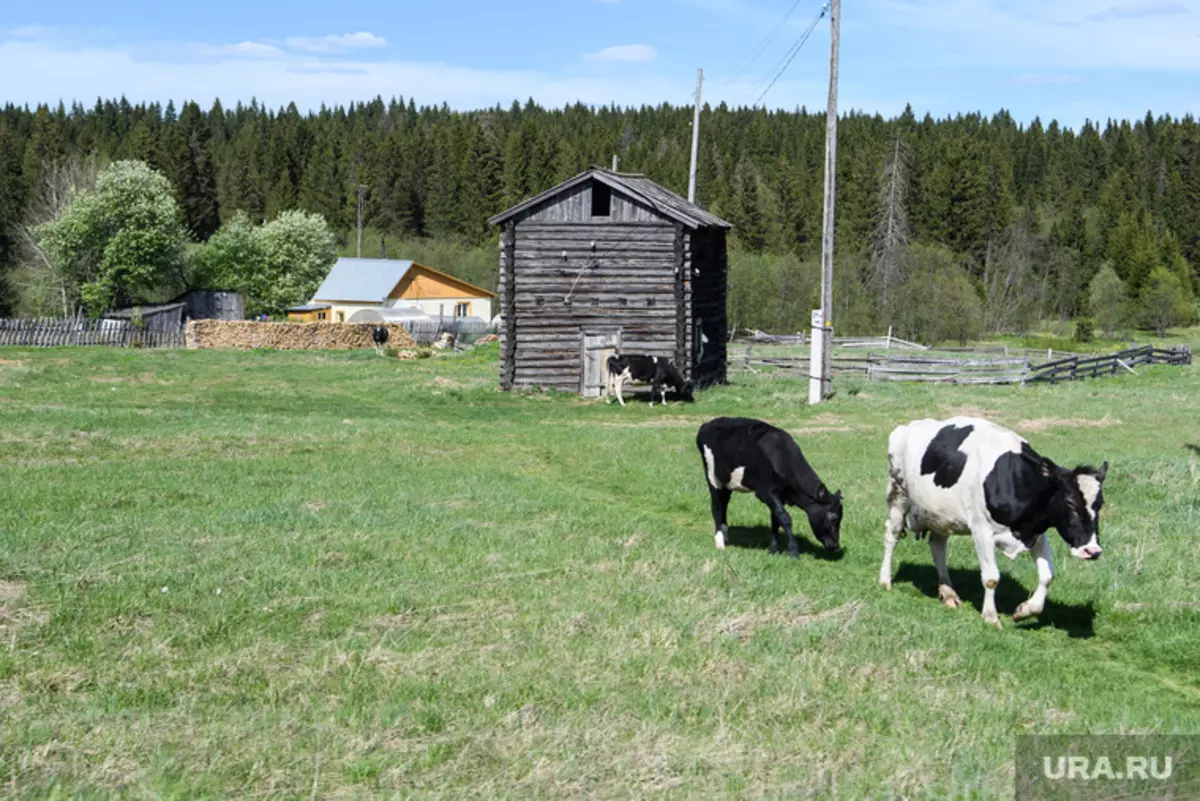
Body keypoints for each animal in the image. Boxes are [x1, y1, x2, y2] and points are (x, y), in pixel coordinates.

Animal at [696, 419, 844, 556]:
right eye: (833, 518)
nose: (836, 545)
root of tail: (707, 424)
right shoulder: (765, 491)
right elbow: (784, 518)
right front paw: (793, 550)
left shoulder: (780, 495)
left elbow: (775, 521)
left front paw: (773, 549)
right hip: (712, 478)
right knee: (717, 507)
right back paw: (720, 543)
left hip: (726, 483)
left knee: (724, 503)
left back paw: (726, 537)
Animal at [883, 417, 1104, 628]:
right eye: (1069, 501)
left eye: (1100, 504)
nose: (1092, 551)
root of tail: (907, 427)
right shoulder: (982, 530)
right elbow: (991, 578)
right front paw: (991, 617)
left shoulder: (1037, 532)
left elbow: (1047, 576)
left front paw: (1026, 610)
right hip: (898, 496)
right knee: (891, 536)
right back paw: (885, 581)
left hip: (941, 515)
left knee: (937, 546)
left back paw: (948, 593)